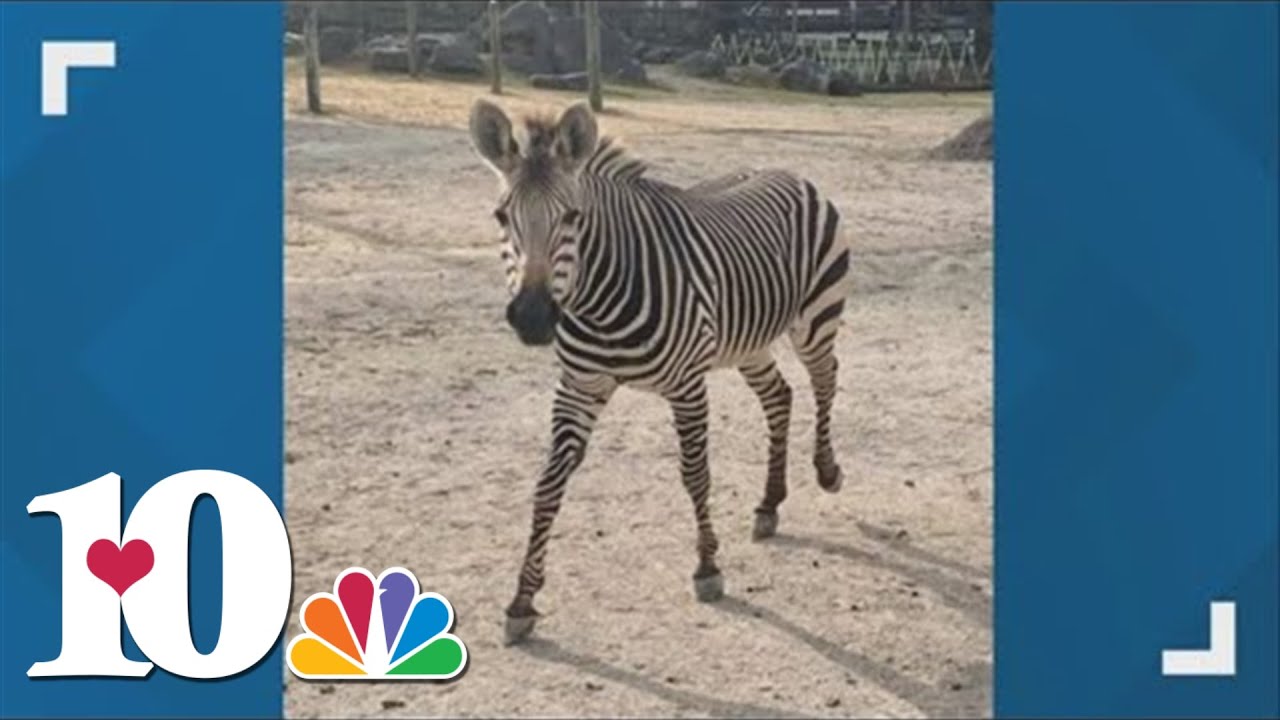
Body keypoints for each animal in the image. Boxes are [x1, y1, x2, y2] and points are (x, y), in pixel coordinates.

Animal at [468, 99, 853, 644]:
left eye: (573, 216)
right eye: (502, 216)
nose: (533, 317)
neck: (598, 303)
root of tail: (788, 172)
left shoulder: (687, 385)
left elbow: (695, 474)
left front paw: (708, 568)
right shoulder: (579, 387)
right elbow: (548, 483)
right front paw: (523, 600)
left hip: (816, 318)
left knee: (826, 379)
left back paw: (827, 469)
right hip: (748, 341)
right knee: (780, 396)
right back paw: (768, 505)